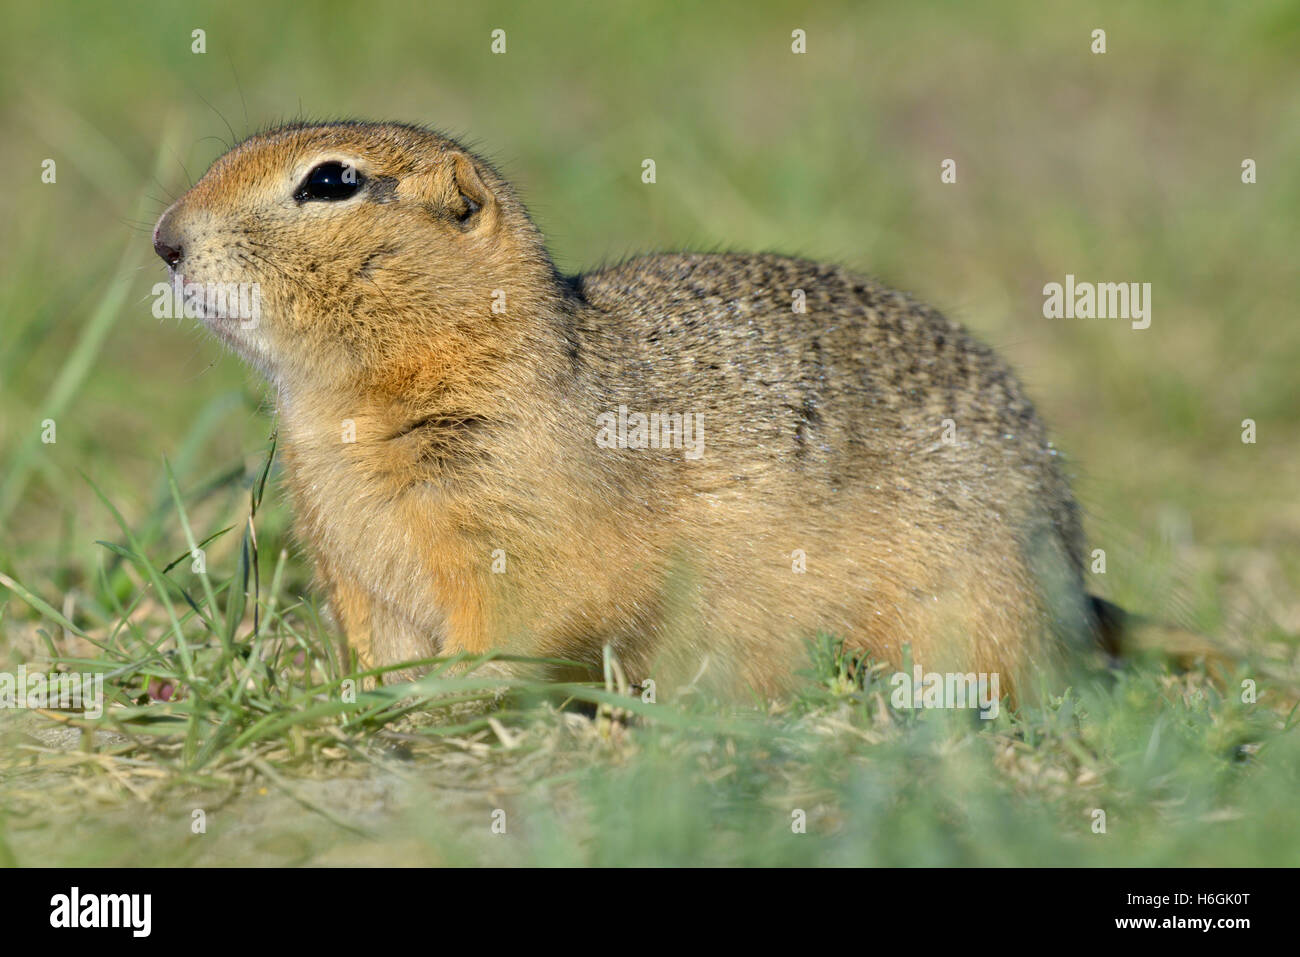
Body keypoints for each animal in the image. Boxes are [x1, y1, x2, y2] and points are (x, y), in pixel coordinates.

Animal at [151, 121, 1126, 700]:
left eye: (330, 182)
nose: (163, 239)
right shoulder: (352, 569)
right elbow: (380, 639)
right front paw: (350, 693)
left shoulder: (514, 531)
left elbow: (515, 627)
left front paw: (438, 694)